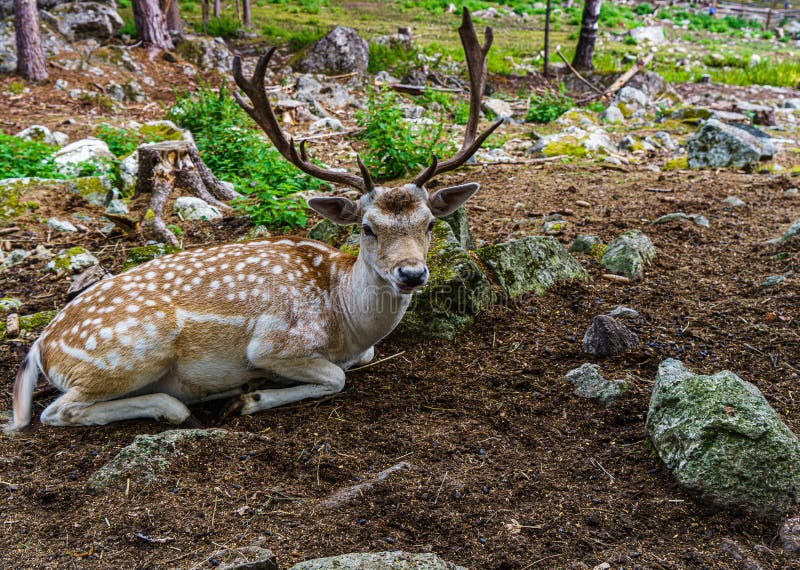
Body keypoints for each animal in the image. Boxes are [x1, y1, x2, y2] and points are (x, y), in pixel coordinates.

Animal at [7, 8, 502, 431]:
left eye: (430, 224)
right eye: (366, 228)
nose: (412, 273)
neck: (345, 322)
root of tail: (40, 347)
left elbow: (357, 363)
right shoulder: (274, 342)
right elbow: (336, 377)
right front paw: (250, 396)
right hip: (133, 350)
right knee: (57, 411)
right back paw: (182, 402)